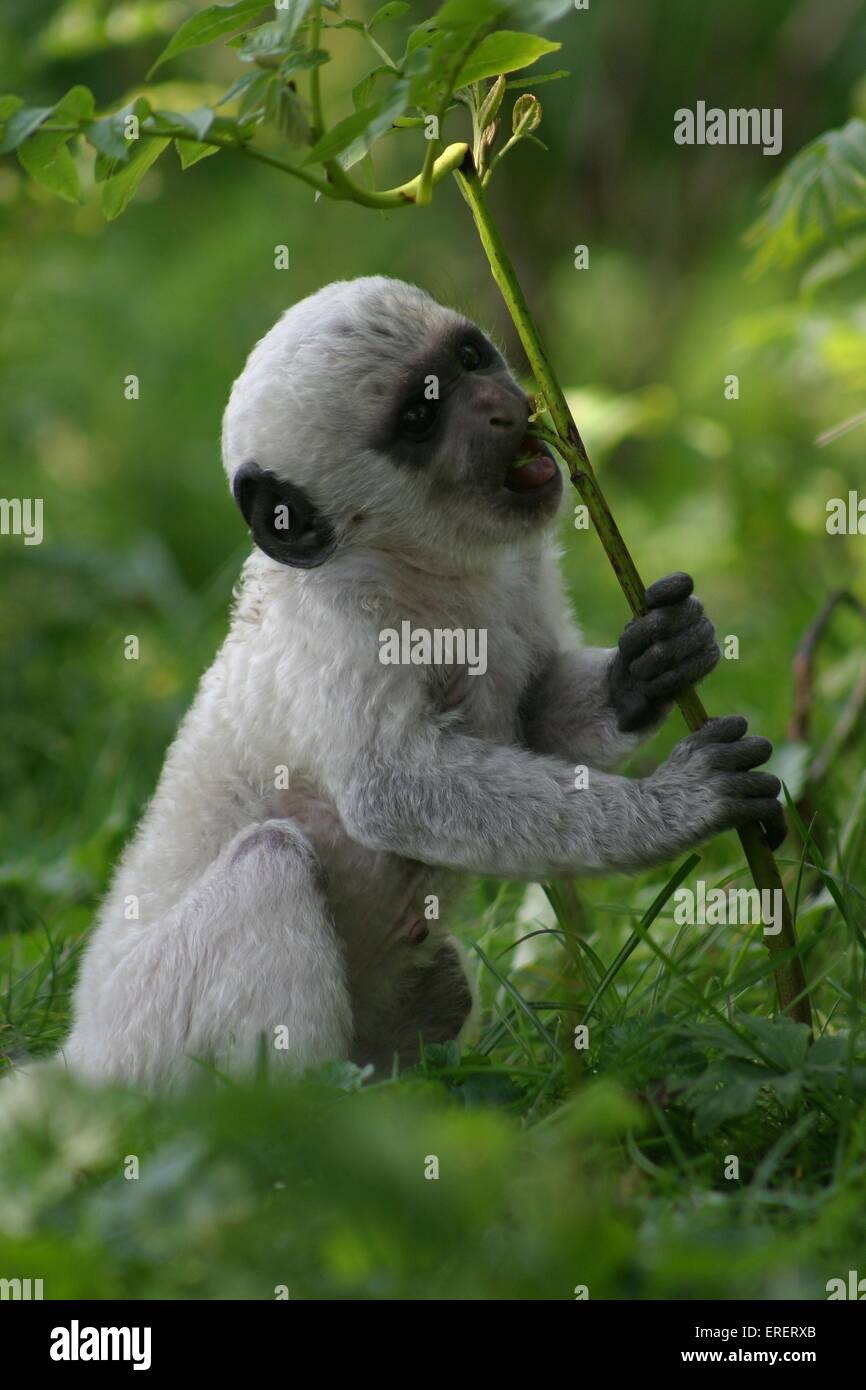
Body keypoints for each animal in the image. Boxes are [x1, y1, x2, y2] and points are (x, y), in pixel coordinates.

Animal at [62, 276, 785, 1088]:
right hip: (147, 1037)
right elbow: (392, 788)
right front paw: (680, 805)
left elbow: (537, 716)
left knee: (442, 990)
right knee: (272, 863)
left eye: (470, 358)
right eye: (420, 418)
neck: (429, 570)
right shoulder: (340, 624)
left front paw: (654, 661)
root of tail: (77, 1058)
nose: (507, 409)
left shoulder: (519, 571)